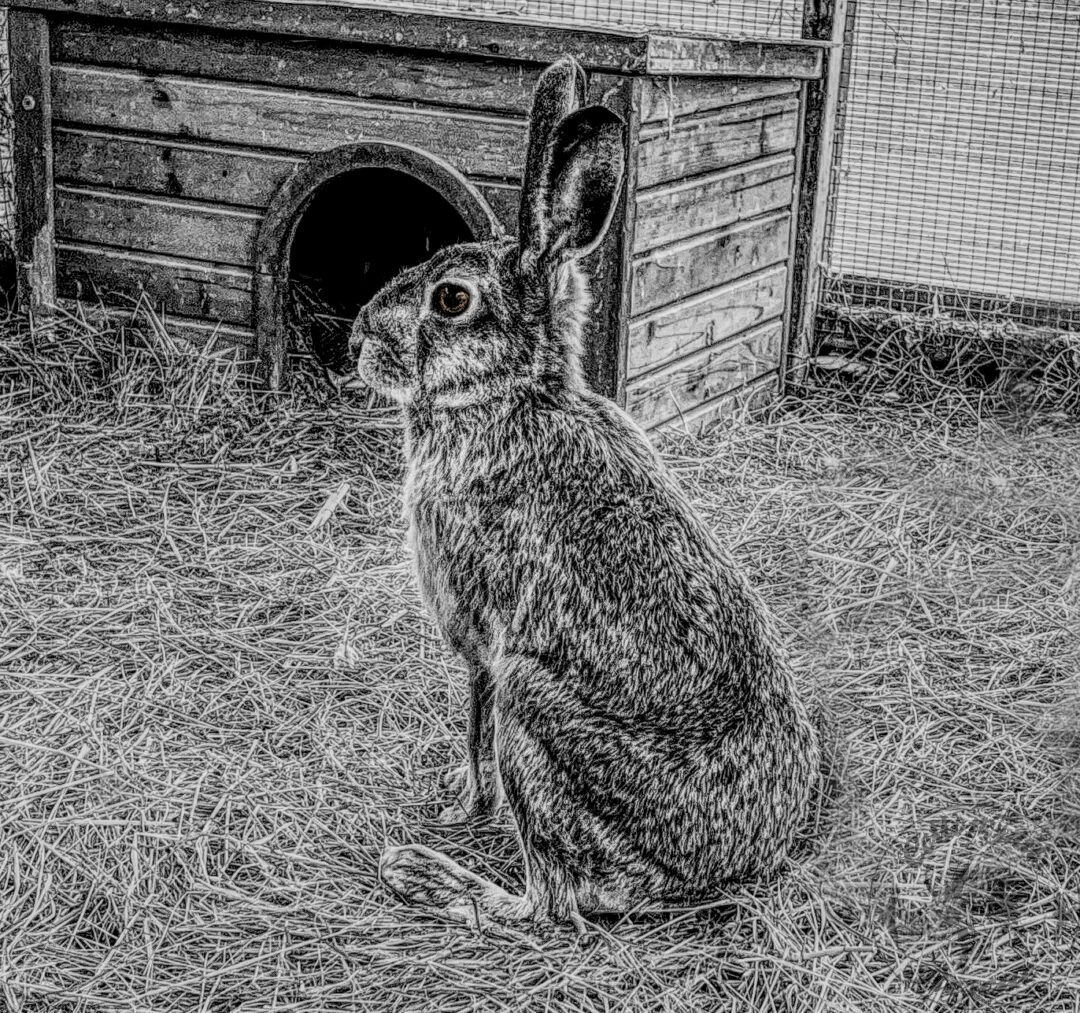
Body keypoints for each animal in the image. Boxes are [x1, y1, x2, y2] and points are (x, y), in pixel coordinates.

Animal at [348, 56, 821, 932]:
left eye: (452, 299)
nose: (360, 337)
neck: (507, 397)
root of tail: (711, 872)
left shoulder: (481, 639)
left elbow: (472, 720)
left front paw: (461, 807)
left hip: (533, 705)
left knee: (549, 900)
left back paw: (429, 875)